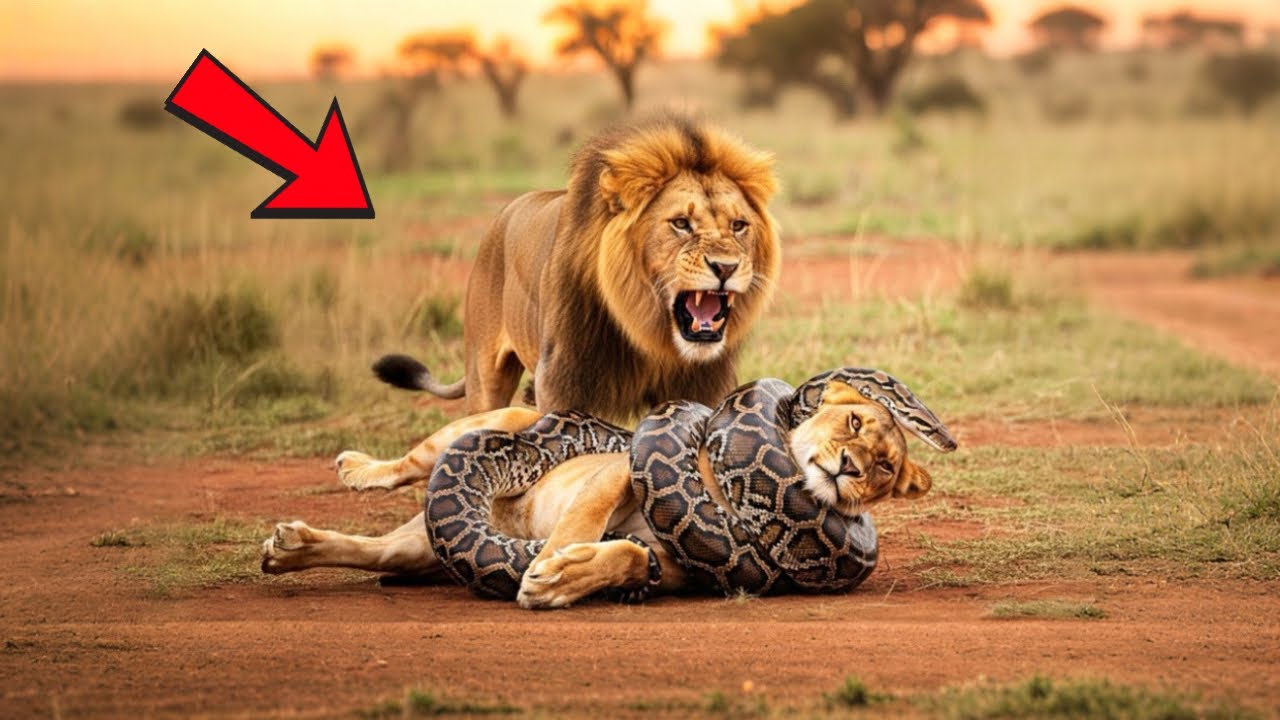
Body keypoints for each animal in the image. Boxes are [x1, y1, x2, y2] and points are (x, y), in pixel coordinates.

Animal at [262, 380, 933, 608]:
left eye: (885, 466)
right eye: (853, 423)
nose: (850, 468)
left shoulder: (685, 559)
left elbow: (631, 554)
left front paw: (566, 576)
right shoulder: (620, 470)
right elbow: (577, 524)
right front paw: (545, 567)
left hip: (421, 544)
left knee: (378, 550)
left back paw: (292, 547)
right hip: (491, 425)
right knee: (414, 462)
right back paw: (357, 468)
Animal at [372, 113, 780, 430]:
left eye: (739, 226)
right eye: (681, 223)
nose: (726, 267)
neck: (649, 333)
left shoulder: (700, 386)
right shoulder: (561, 381)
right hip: (484, 376)